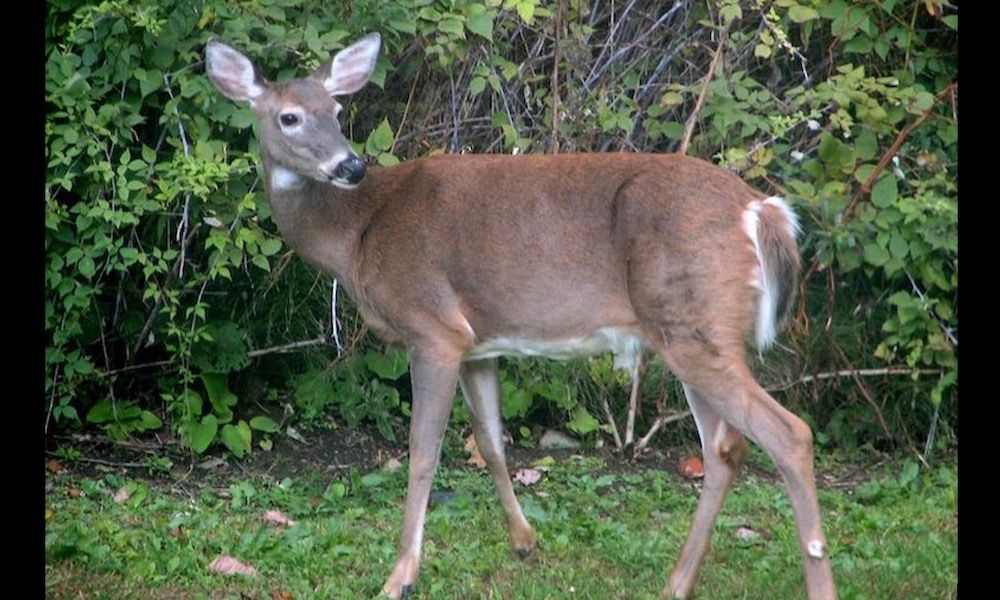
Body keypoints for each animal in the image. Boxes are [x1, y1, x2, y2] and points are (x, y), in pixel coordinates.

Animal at [205, 32, 837, 599]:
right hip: (690, 331)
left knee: (790, 434)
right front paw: (525, 542)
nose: (349, 165)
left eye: (336, 110)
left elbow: (422, 454)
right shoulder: (476, 342)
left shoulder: (431, 327)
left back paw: (812, 583)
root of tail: (761, 211)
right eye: (290, 117)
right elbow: (490, 442)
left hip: (694, 324)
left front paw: (400, 577)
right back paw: (675, 584)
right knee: (724, 450)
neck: (358, 232)